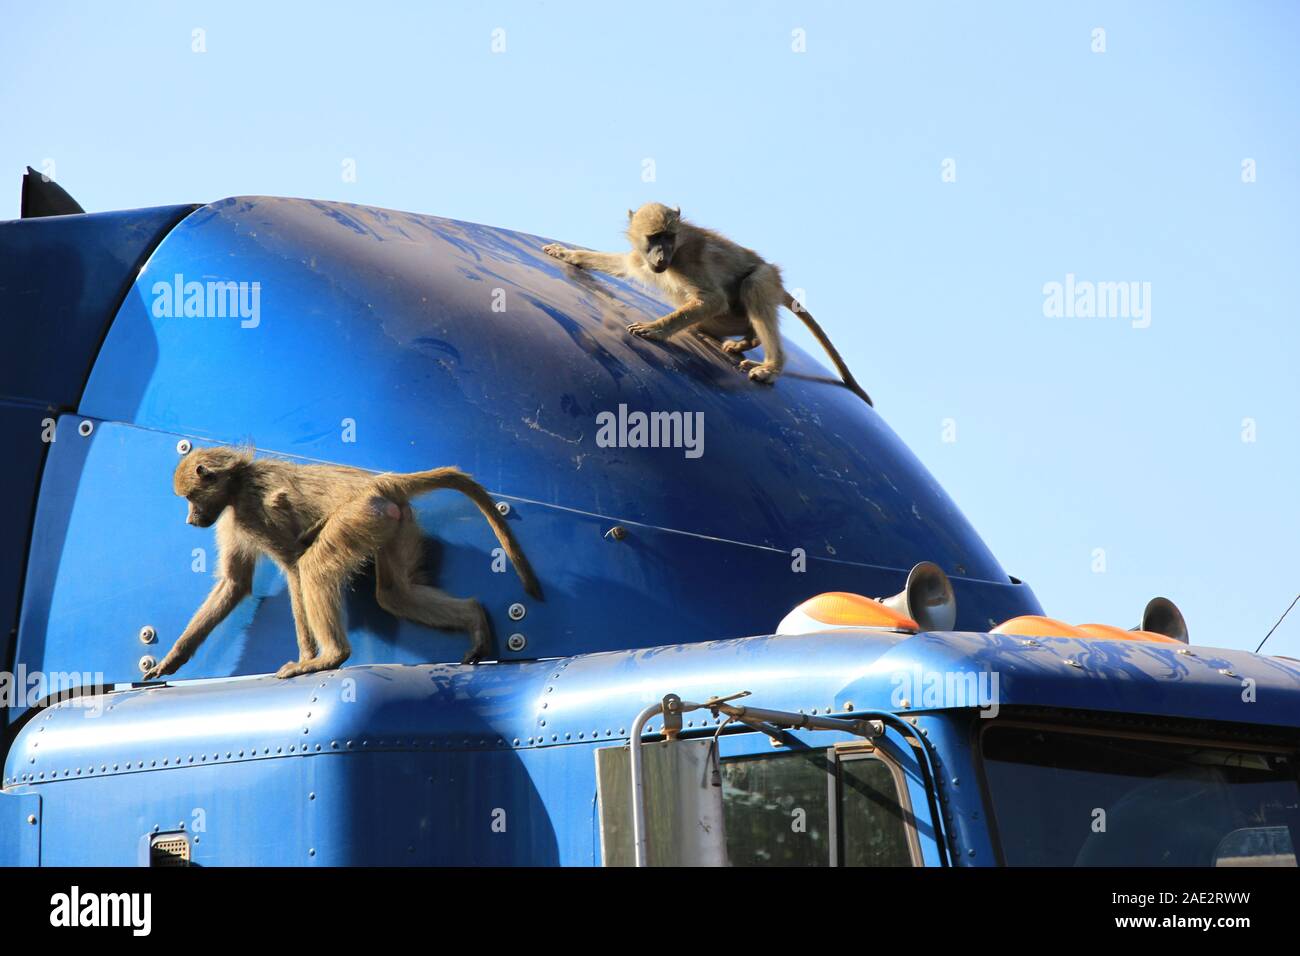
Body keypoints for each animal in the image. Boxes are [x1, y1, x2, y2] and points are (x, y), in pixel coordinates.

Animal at [141, 446, 541, 681]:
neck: (239, 482)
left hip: (359, 514)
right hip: (395, 520)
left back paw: (330, 657)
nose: (191, 520)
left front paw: (305, 656)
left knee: (314, 567)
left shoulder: (253, 513)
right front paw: (172, 660)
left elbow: (293, 566)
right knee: (395, 594)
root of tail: (381, 482)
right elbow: (235, 583)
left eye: (190, 498)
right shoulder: (231, 518)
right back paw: (474, 618)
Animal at [542, 203, 872, 406]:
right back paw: (747, 340)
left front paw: (654, 329)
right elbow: (622, 264)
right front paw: (567, 255)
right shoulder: (641, 258)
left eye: (669, 237)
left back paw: (770, 367)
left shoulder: (688, 262)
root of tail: (778, 280)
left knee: (754, 284)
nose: (661, 257)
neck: (675, 252)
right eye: (654, 237)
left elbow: (714, 299)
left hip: (765, 277)